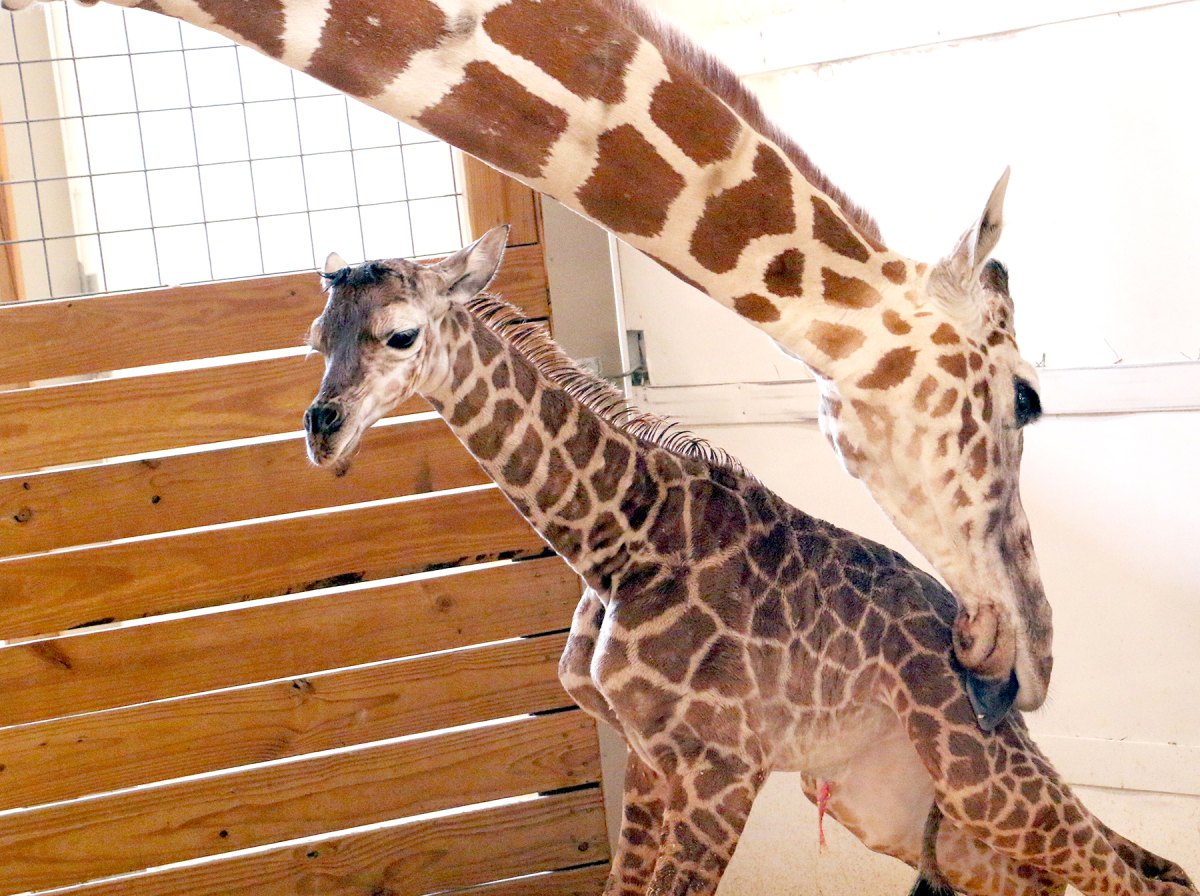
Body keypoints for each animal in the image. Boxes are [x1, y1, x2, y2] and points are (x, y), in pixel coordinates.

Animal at [301, 226, 1196, 896]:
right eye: (317, 339)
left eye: (401, 332)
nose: (322, 430)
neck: (613, 545)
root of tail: (1005, 693)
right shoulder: (650, 762)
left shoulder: (722, 767)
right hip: (896, 803)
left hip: (980, 774)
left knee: (1145, 877)